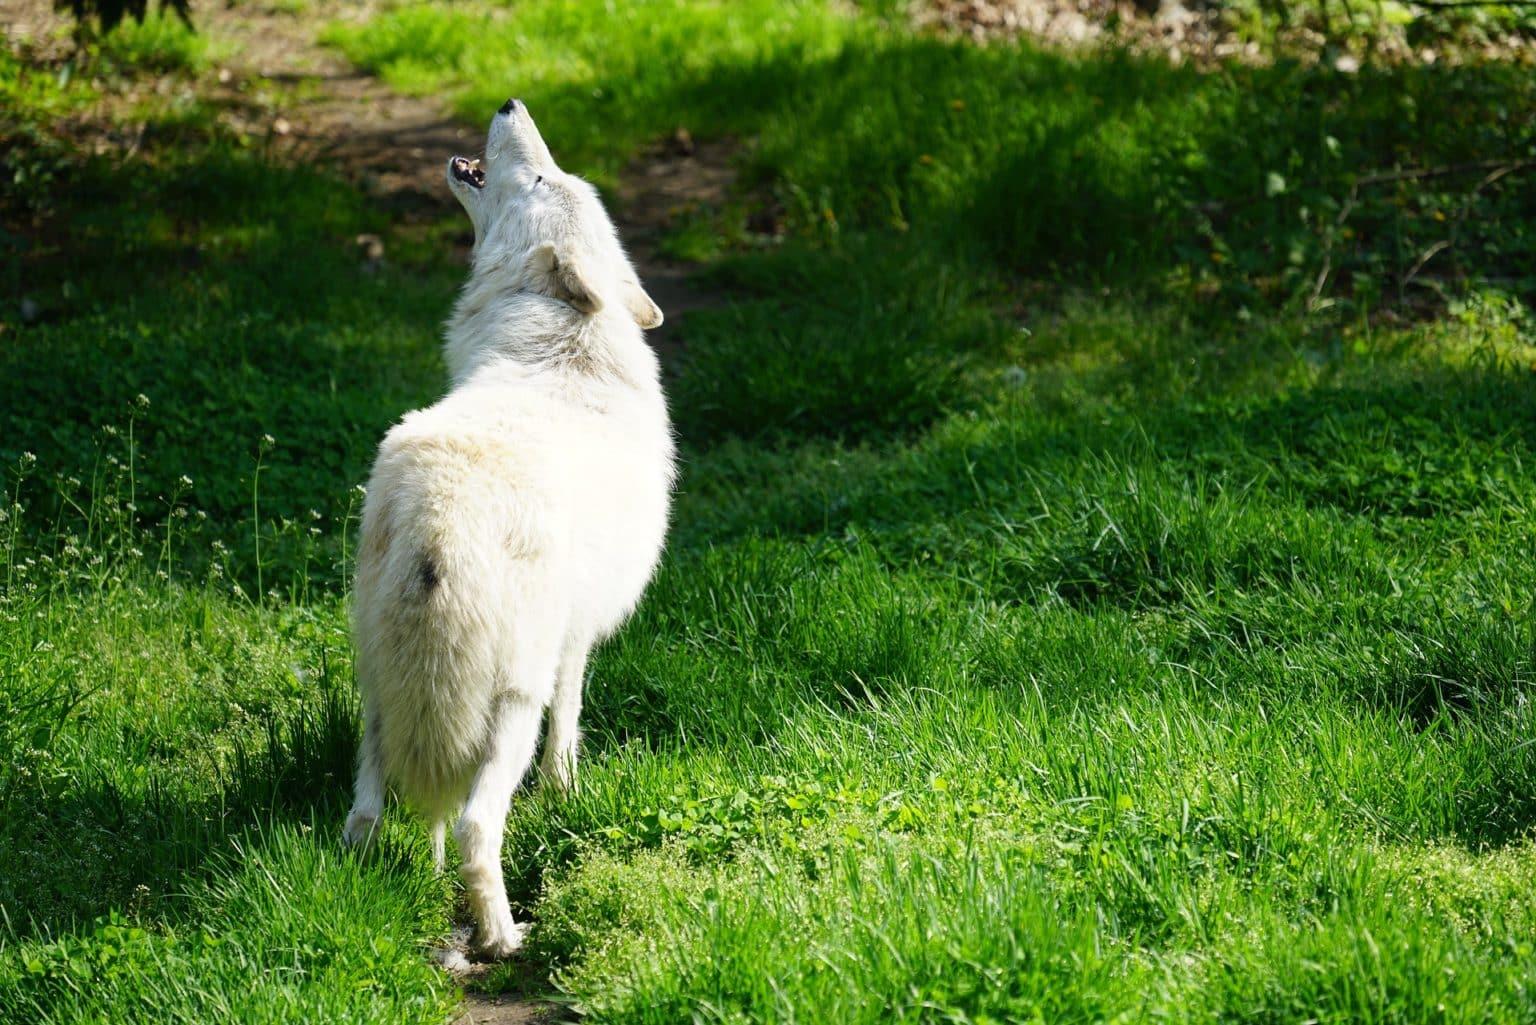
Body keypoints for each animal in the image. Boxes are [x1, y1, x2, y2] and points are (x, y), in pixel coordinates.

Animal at [343, 98, 674, 958]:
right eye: (545, 176)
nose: (511, 103)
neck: (563, 344)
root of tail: (438, 511)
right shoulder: (574, 643)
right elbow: (571, 729)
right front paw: (567, 794)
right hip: (507, 710)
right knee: (474, 823)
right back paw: (503, 935)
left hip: (380, 692)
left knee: (373, 811)